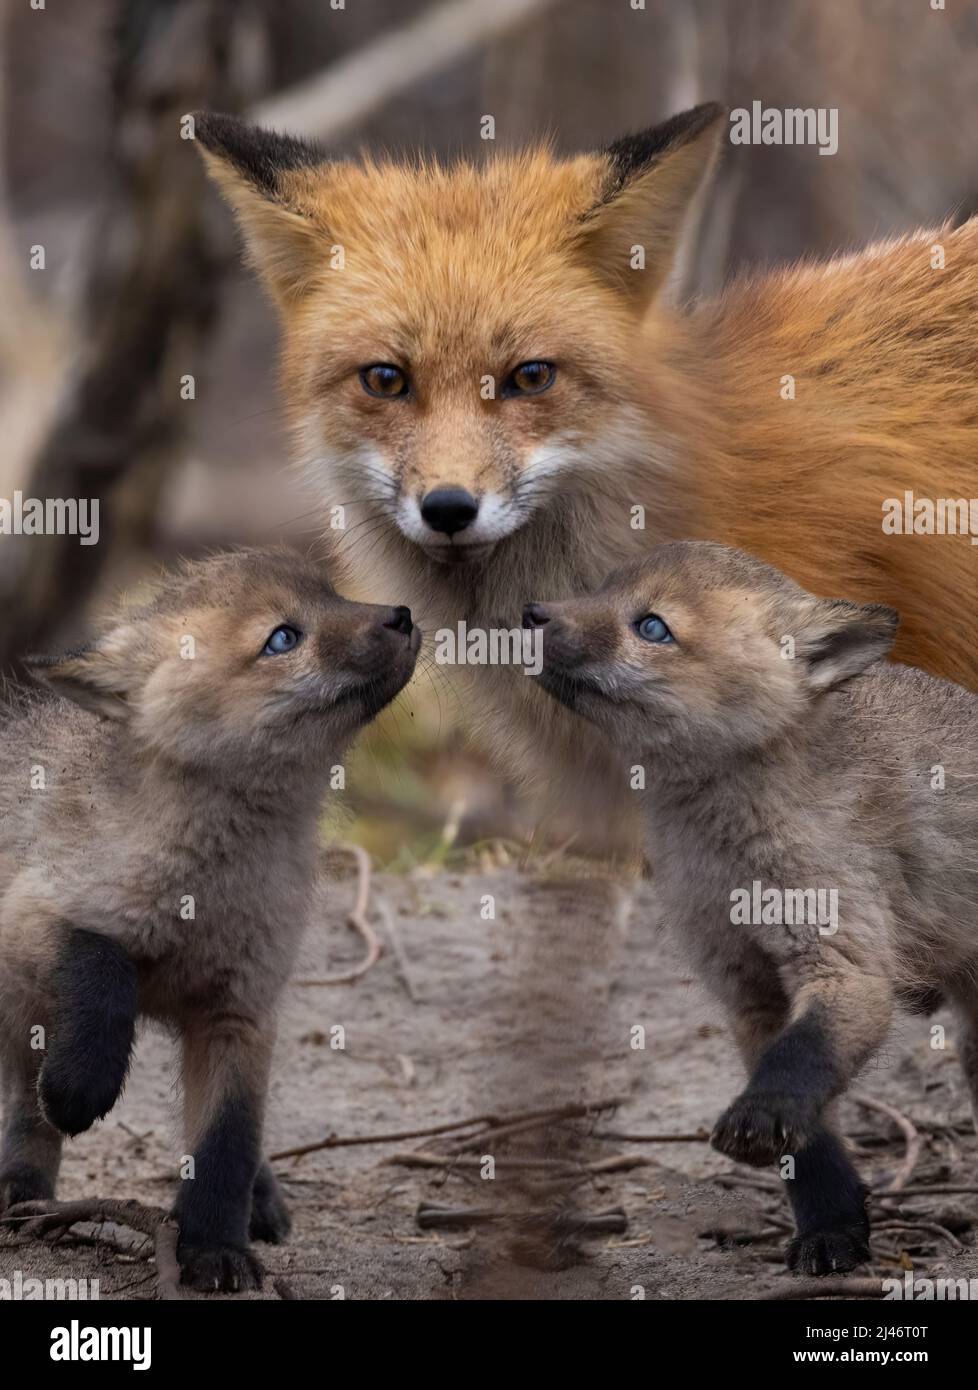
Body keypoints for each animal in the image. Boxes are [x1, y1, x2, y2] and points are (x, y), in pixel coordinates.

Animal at [0, 547, 419, 1291]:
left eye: (334, 593)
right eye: (282, 638)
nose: (401, 613)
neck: (208, 890)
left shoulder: (242, 1008)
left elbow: (227, 1142)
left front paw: (214, 1250)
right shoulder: (31, 914)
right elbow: (100, 959)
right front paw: (83, 1087)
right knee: (27, 1108)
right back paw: (23, 1198)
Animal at [524, 540, 978, 1275]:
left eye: (651, 627)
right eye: (600, 589)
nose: (532, 612)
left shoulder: (844, 962)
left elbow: (798, 1063)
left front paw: (761, 1120)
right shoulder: (746, 988)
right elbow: (811, 1145)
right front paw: (831, 1231)